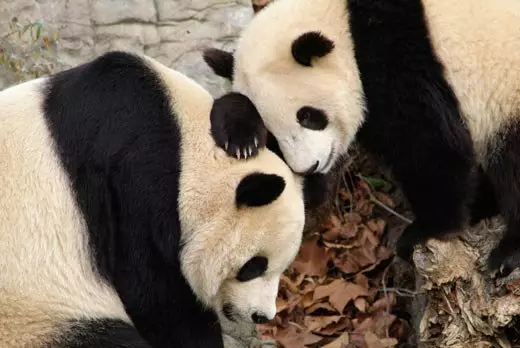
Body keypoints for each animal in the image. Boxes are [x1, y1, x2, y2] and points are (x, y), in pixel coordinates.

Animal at [201, 0, 520, 274]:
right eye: (274, 138)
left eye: (307, 115)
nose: (310, 167)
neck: (343, 21)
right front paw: (240, 135)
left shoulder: (395, 54)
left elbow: (431, 146)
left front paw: (424, 231)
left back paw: (506, 253)